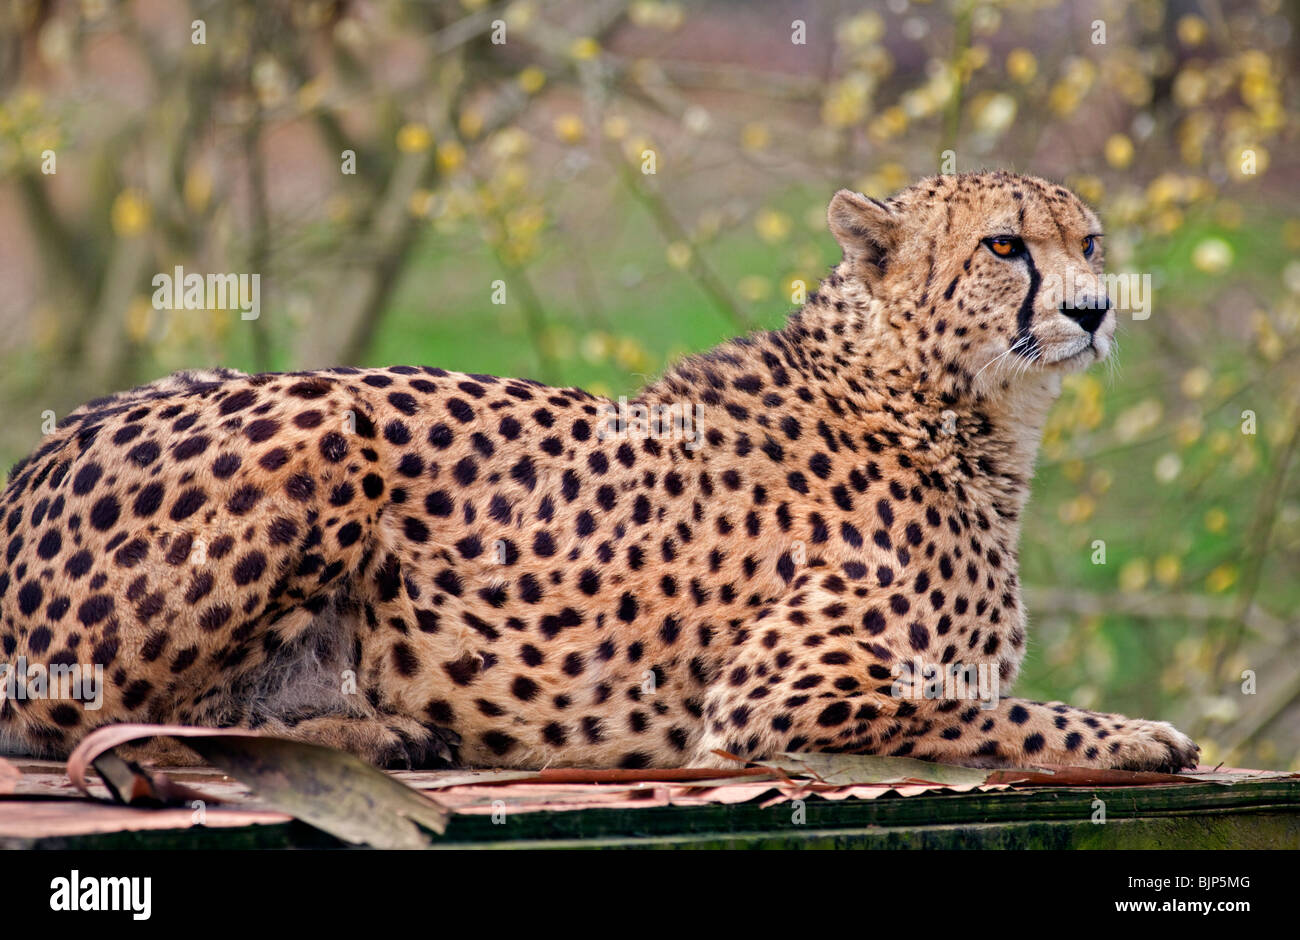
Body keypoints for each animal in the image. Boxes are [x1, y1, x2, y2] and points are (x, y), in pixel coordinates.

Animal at [0, 170, 1199, 774]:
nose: (1095, 308)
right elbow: (995, 711)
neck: (944, 406)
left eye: (1090, 244)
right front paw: (1138, 736)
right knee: (80, 719)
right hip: (324, 417)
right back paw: (377, 729)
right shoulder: (777, 697)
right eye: (1005, 247)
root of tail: (45, 447)